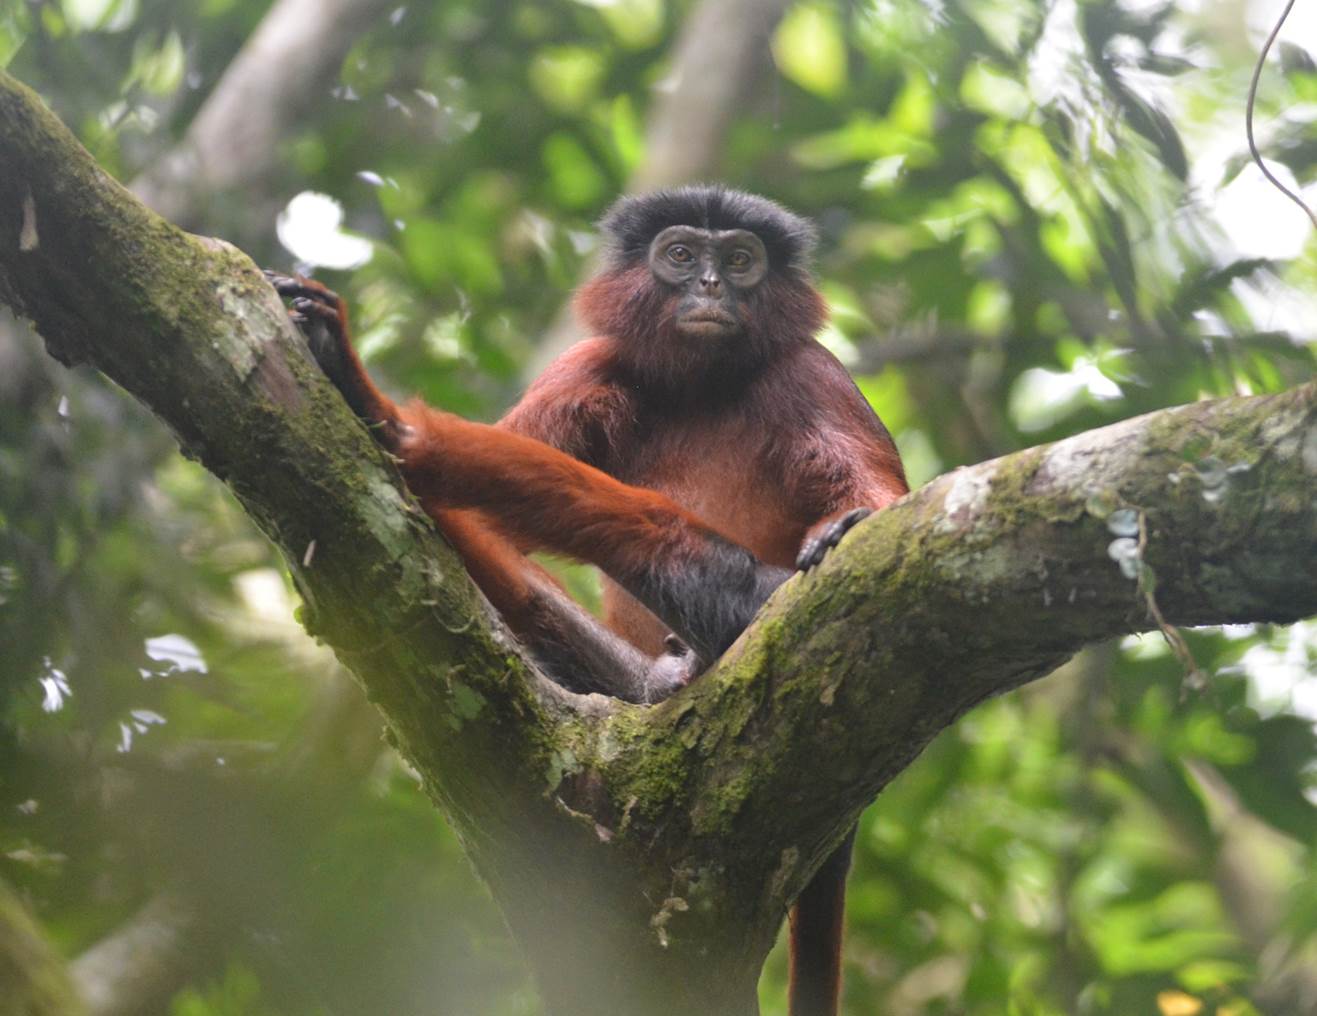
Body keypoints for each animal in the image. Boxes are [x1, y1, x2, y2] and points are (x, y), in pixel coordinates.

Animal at [270, 184, 908, 1016]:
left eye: (740, 261)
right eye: (681, 256)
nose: (711, 285)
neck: (701, 387)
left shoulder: (808, 369)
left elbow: (884, 512)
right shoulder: (592, 364)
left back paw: (389, 420)